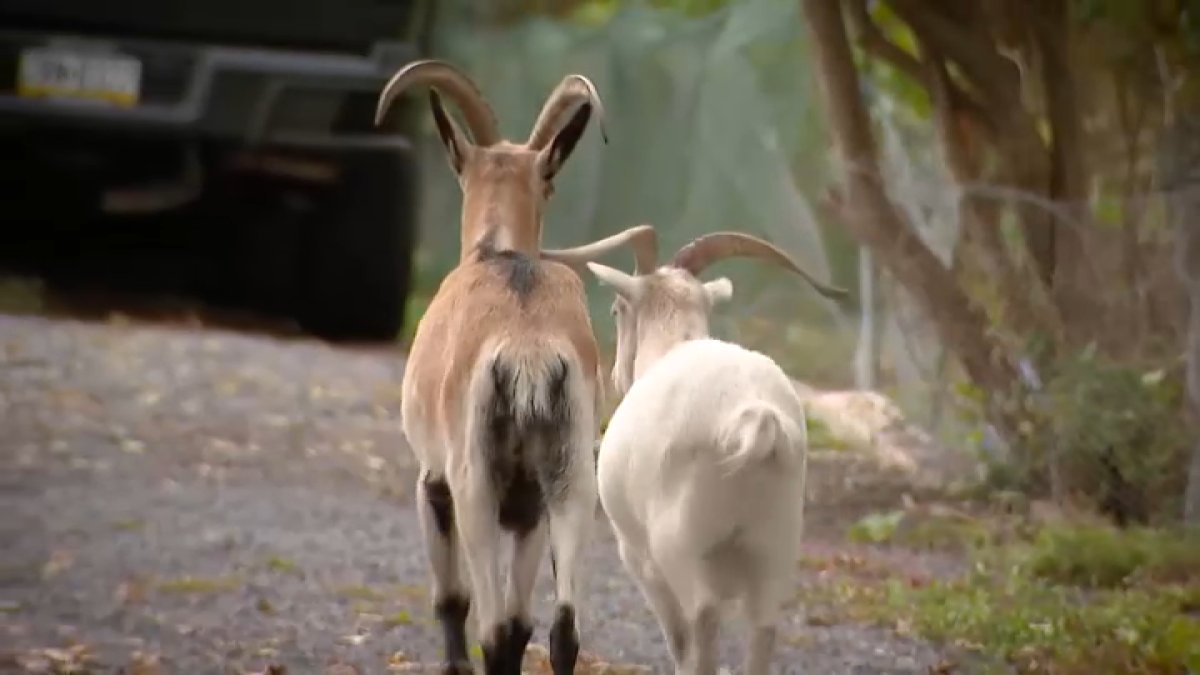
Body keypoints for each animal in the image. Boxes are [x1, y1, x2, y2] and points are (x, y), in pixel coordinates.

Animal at [374, 60, 657, 675]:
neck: (496, 255)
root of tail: (529, 350)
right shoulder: (530, 507)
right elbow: (526, 622)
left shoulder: (435, 481)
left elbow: (453, 600)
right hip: (572, 479)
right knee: (560, 628)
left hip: (476, 484)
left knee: (492, 625)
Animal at [577, 230, 847, 675]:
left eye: (617, 309)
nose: (615, 376)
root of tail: (755, 417)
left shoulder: (640, 557)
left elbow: (679, 639)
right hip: (775, 545)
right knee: (763, 629)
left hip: (680, 548)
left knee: (702, 623)